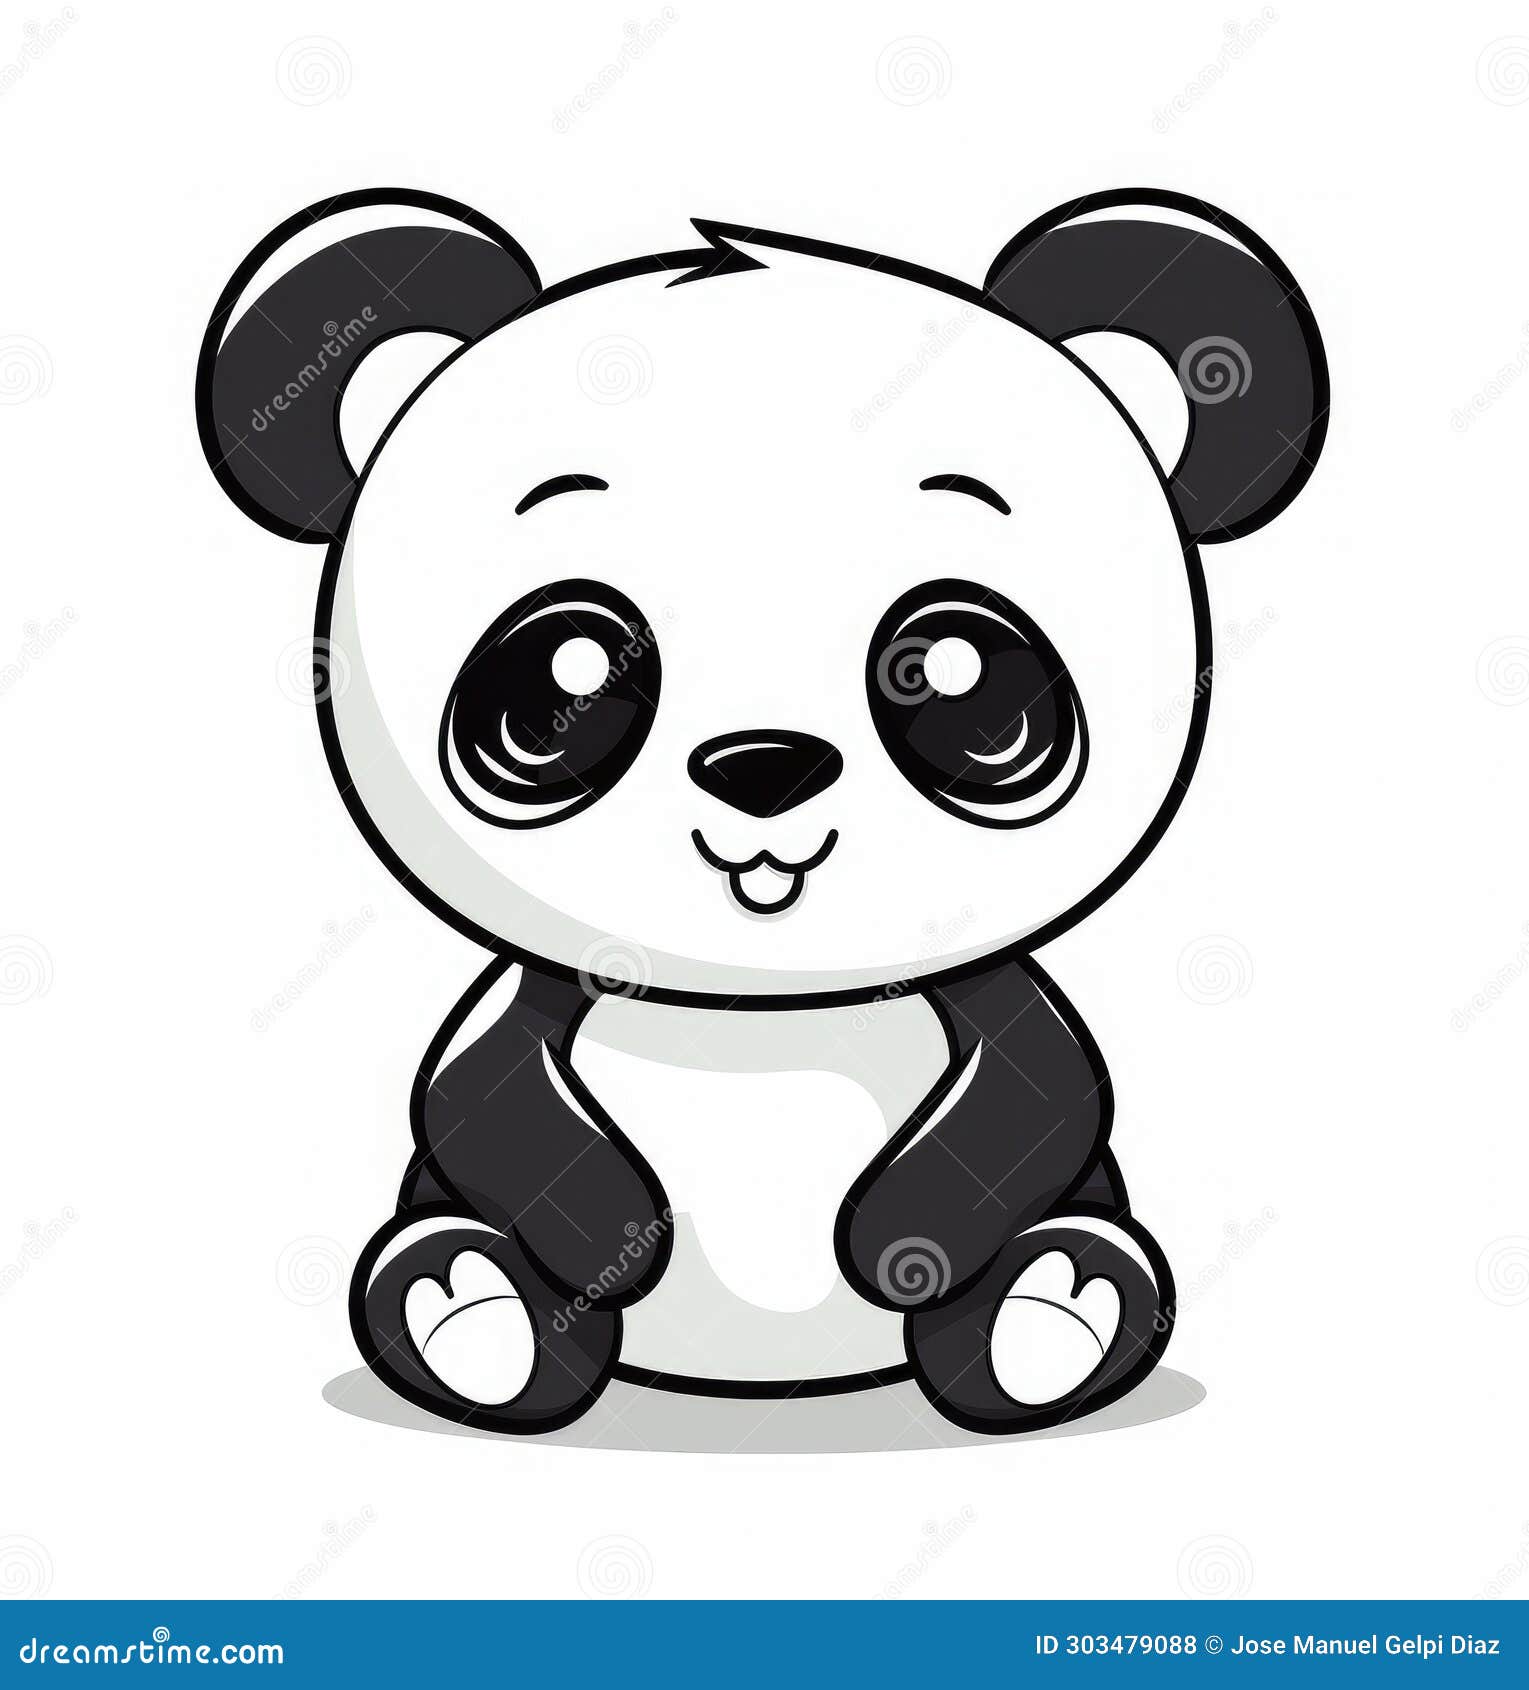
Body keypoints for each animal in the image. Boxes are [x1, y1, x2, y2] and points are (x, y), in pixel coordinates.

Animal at [197, 186, 1327, 1436]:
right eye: (558, 675)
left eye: (962, 671)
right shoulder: (546, 998)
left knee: (1062, 1269)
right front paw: (609, 1233)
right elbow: (479, 1087)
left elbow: (1038, 1088)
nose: (762, 766)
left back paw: (1051, 1308)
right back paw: (472, 1309)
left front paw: (902, 1242)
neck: (759, 1012)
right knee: (455, 1268)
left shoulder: (988, 1007)